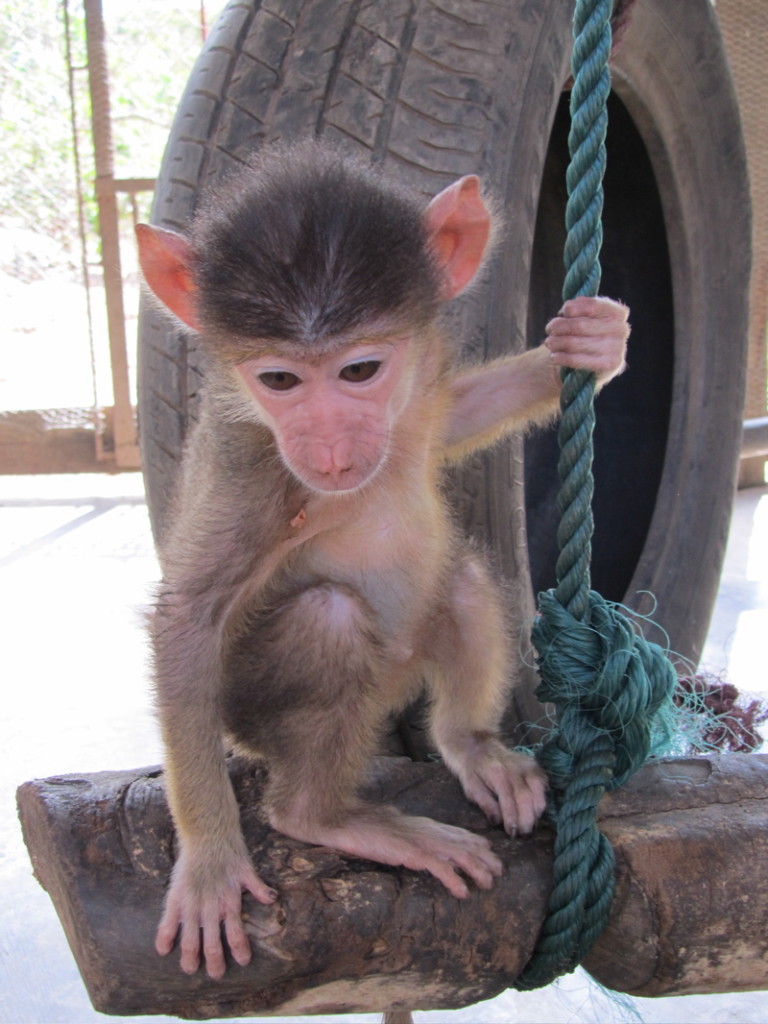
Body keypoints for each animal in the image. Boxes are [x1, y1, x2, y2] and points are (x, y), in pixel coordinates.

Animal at [136, 140, 629, 980]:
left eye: (359, 371)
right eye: (280, 380)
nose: (331, 451)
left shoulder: (419, 402)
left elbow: (463, 413)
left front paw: (589, 348)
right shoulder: (254, 467)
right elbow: (189, 617)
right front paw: (209, 862)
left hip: (402, 667)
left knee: (462, 585)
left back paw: (471, 746)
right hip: (250, 707)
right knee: (329, 617)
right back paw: (323, 816)